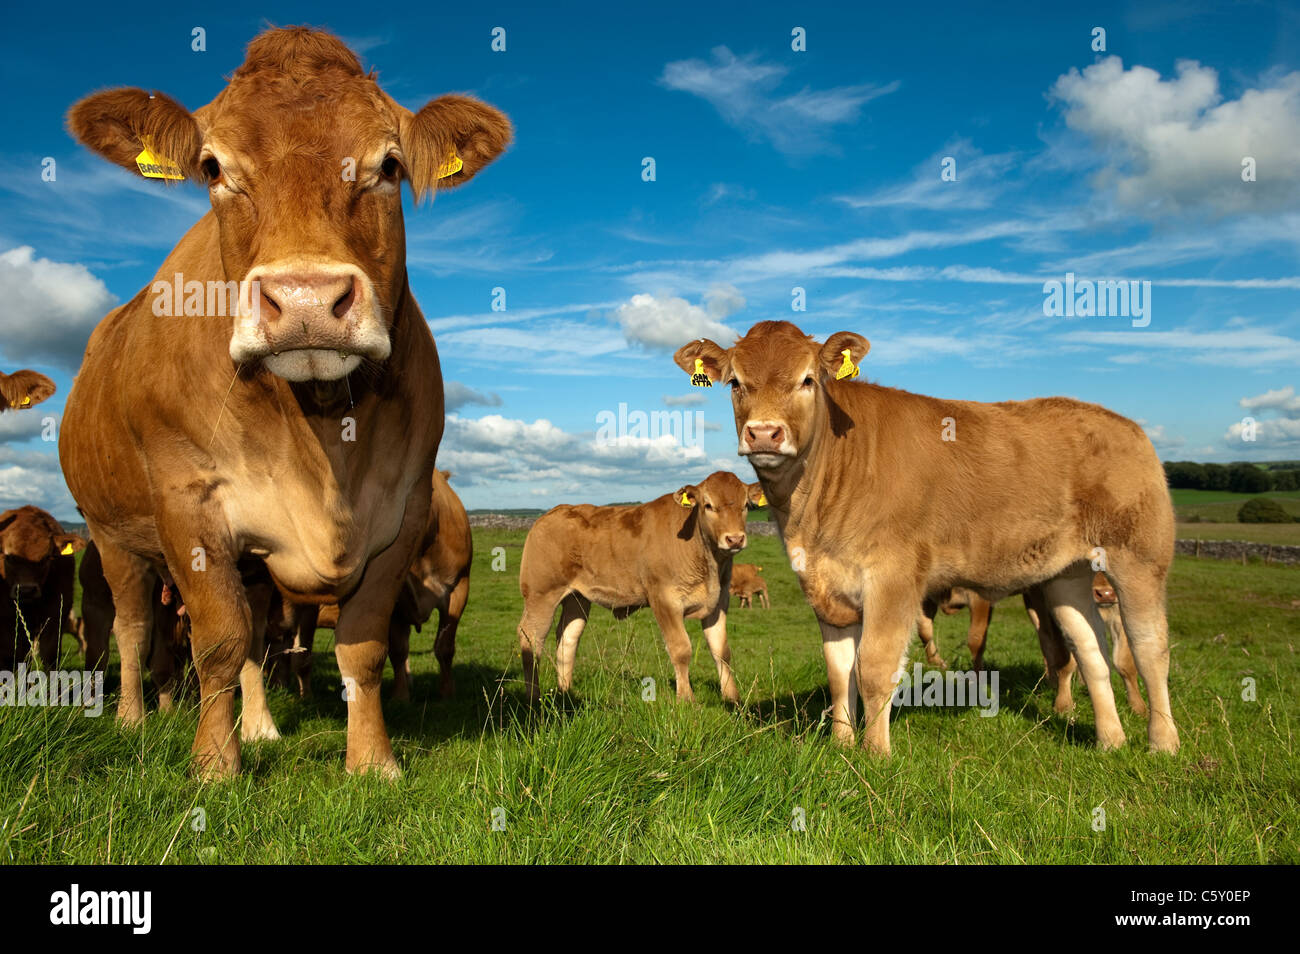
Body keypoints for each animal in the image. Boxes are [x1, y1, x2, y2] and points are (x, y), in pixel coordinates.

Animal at [517, 471, 764, 704]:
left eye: (746, 505)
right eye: (708, 505)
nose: (734, 539)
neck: (709, 563)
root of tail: (552, 513)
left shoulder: (719, 602)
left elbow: (721, 651)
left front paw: (732, 699)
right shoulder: (664, 599)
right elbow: (681, 649)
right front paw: (686, 699)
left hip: (576, 598)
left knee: (568, 638)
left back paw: (565, 692)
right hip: (541, 594)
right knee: (531, 638)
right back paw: (533, 697)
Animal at [675, 320, 1178, 756]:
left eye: (808, 380)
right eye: (735, 383)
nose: (764, 433)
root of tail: (1125, 425)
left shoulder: (894, 577)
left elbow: (874, 667)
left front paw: (876, 754)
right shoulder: (825, 586)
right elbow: (840, 673)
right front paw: (841, 746)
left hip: (1139, 558)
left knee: (1149, 647)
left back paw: (1162, 742)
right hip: (1065, 575)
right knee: (1091, 651)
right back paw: (1110, 740)